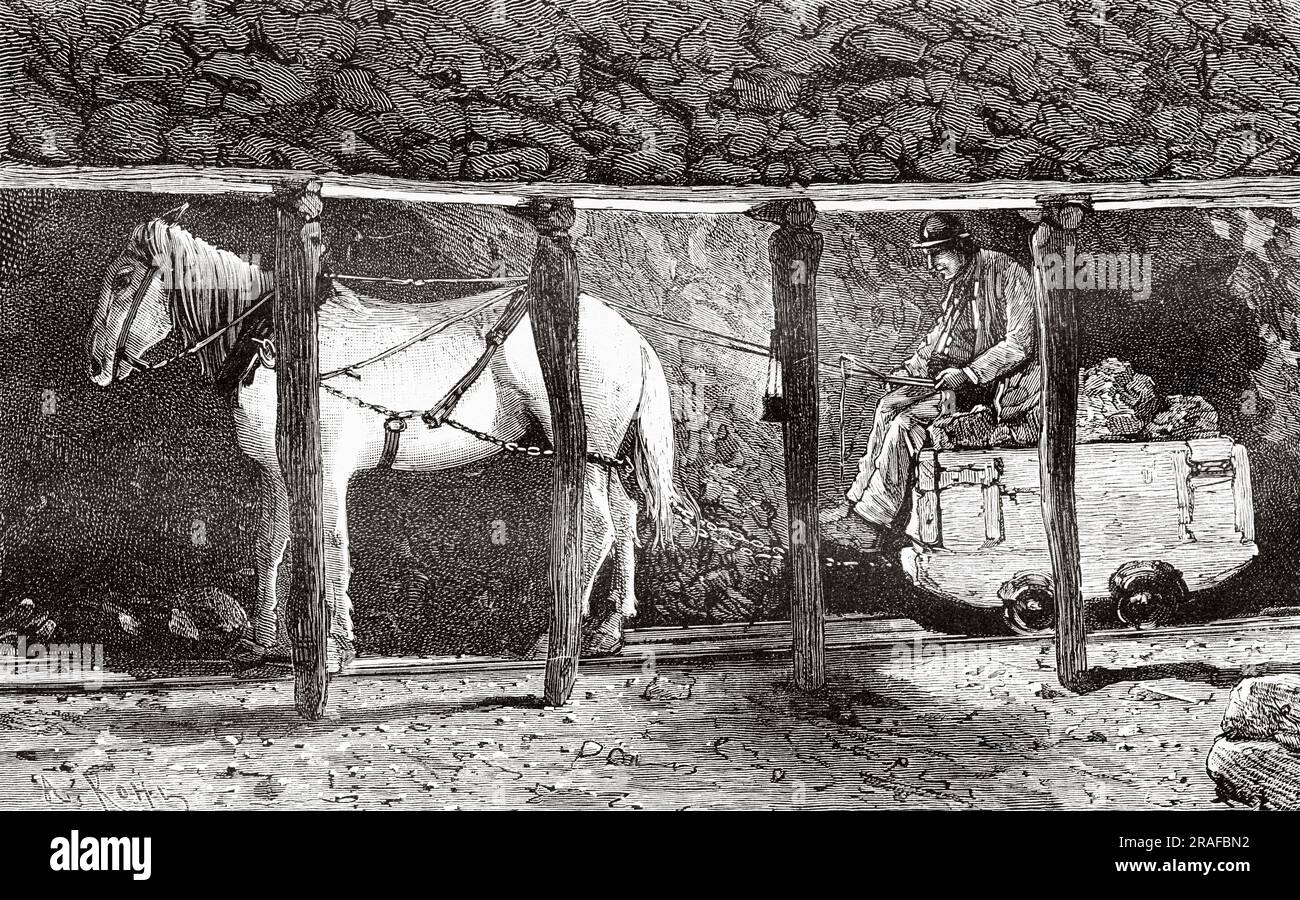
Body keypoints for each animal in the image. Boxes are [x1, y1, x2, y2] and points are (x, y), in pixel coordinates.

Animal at [84, 204, 683, 671]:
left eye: (124, 278)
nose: (94, 364)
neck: (279, 344)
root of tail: (629, 333)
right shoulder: (277, 474)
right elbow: (269, 546)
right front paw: (266, 642)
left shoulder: (324, 469)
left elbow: (330, 545)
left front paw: (336, 644)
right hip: (604, 456)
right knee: (624, 517)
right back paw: (607, 631)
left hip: (582, 454)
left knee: (598, 528)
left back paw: (559, 639)